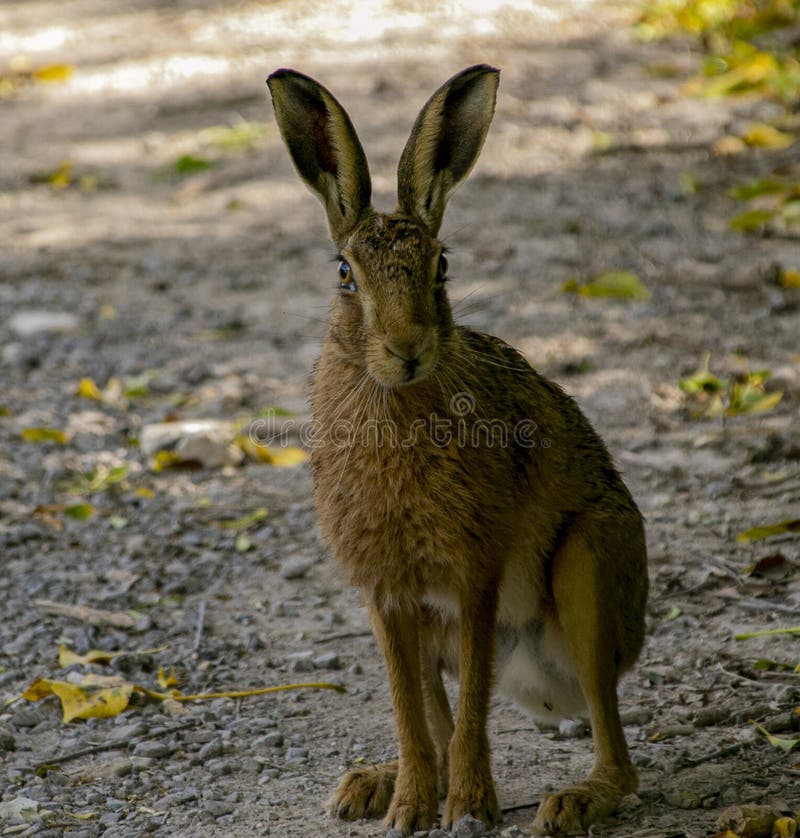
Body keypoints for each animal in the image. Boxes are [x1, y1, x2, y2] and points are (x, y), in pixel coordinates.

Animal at [267, 64, 648, 836]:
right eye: (344, 275)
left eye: (442, 266)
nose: (407, 348)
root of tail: (546, 691)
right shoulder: (386, 592)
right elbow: (412, 710)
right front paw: (412, 809)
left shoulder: (476, 574)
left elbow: (470, 704)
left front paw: (469, 808)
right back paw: (374, 786)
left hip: (587, 566)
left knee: (612, 739)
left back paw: (574, 800)